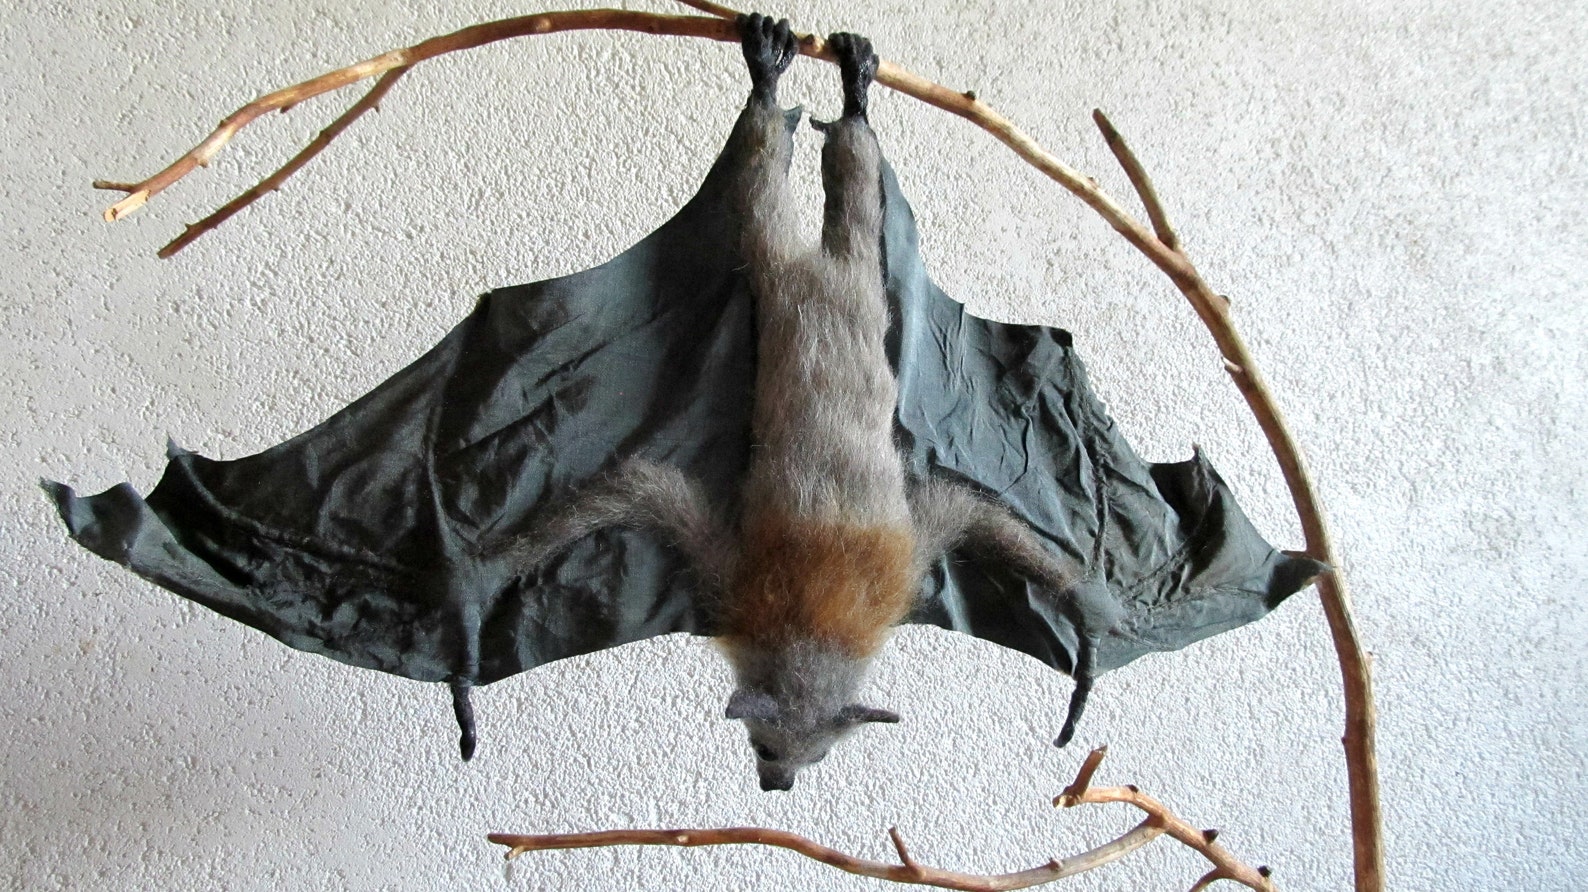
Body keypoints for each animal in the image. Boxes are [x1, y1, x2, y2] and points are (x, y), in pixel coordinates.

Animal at [507, 14, 1112, 791]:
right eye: (765, 746)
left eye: (817, 753)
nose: (779, 785)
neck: (816, 616)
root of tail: (821, 271)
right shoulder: (724, 576)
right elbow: (640, 492)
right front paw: (496, 575)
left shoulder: (913, 552)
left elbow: (987, 522)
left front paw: (1086, 648)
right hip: (777, 261)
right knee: (766, 176)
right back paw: (776, 73)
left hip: (848, 261)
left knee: (850, 177)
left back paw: (848, 88)